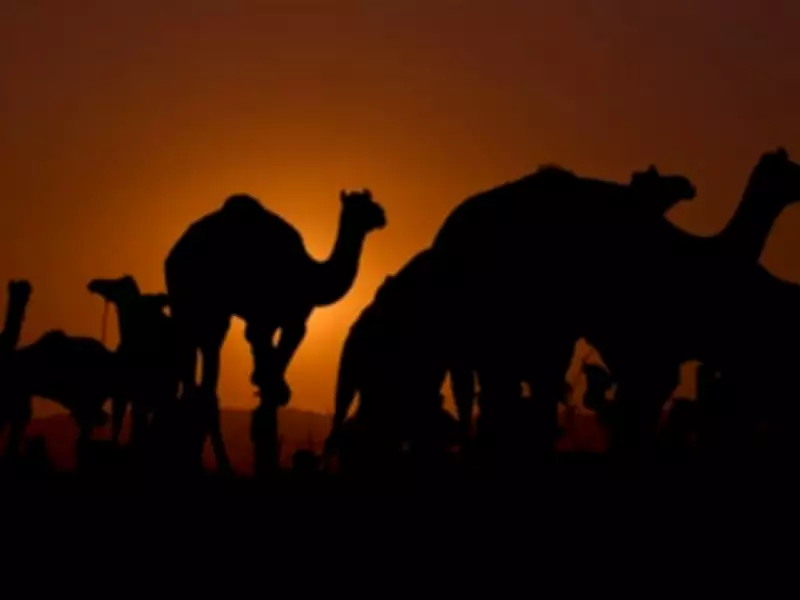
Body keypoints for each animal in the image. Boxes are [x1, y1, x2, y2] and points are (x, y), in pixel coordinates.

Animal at [165, 189, 386, 471]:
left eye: (369, 200)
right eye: (360, 206)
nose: (381, 215)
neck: (312, 277)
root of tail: (173, 257)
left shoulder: (267, 321)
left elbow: (264, 358)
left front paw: (267, 387)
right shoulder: (287, 318)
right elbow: (274, 362)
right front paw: (274, 391)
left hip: (186, 311)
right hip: (208, 311)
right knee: (205, 388)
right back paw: (224, 467)